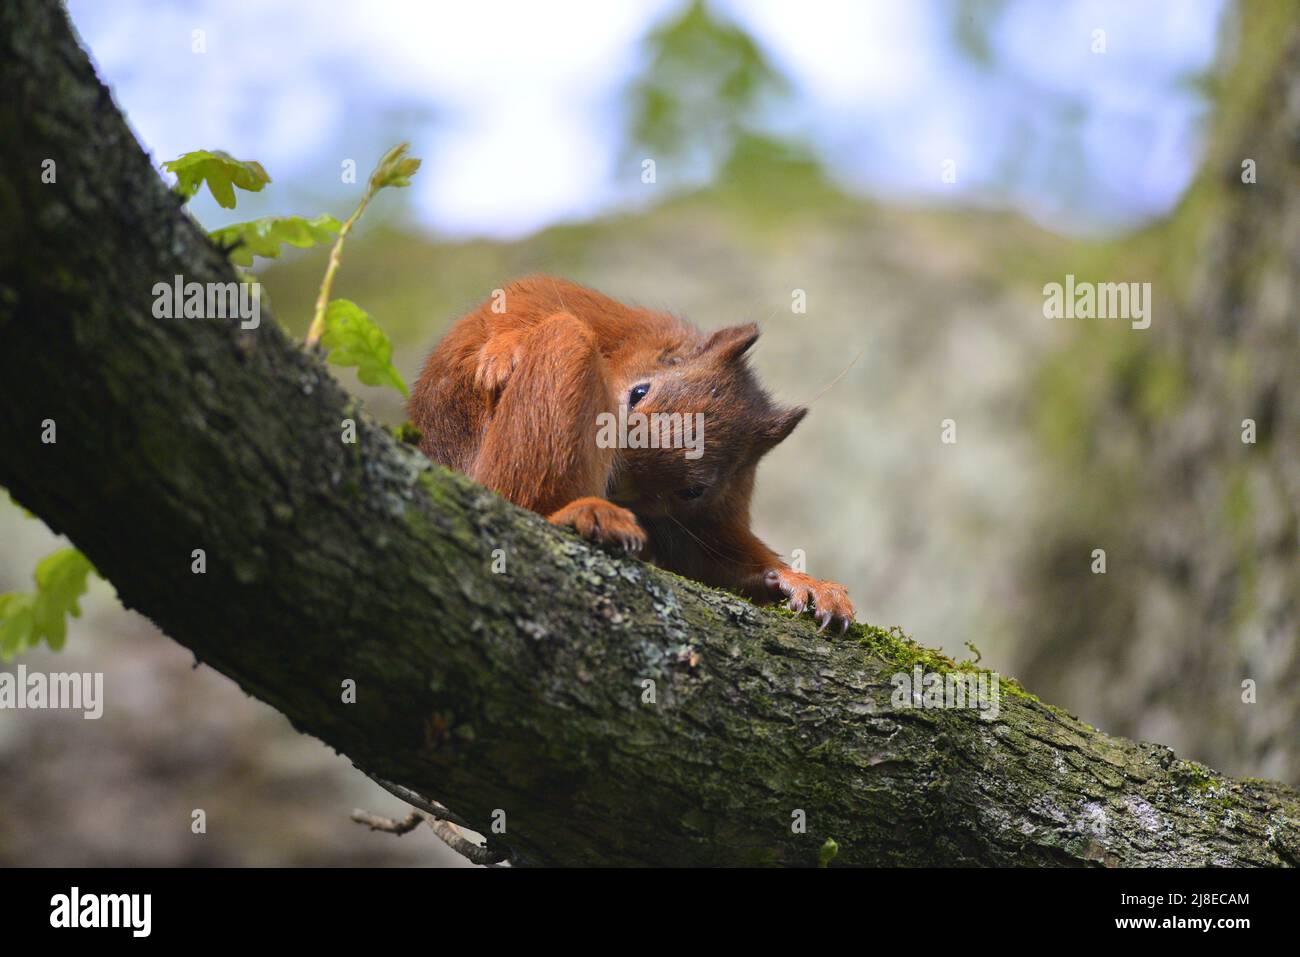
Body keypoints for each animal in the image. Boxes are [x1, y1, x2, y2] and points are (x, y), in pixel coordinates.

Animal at [408, 276, 855, 633]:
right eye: (639, 392)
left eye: (692, 491)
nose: (615, 479)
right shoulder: (608, 316)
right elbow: (509, 306)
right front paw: (504, 349)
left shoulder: (717, 508)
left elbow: (709, 555)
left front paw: (808, 585)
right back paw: (579, 511)